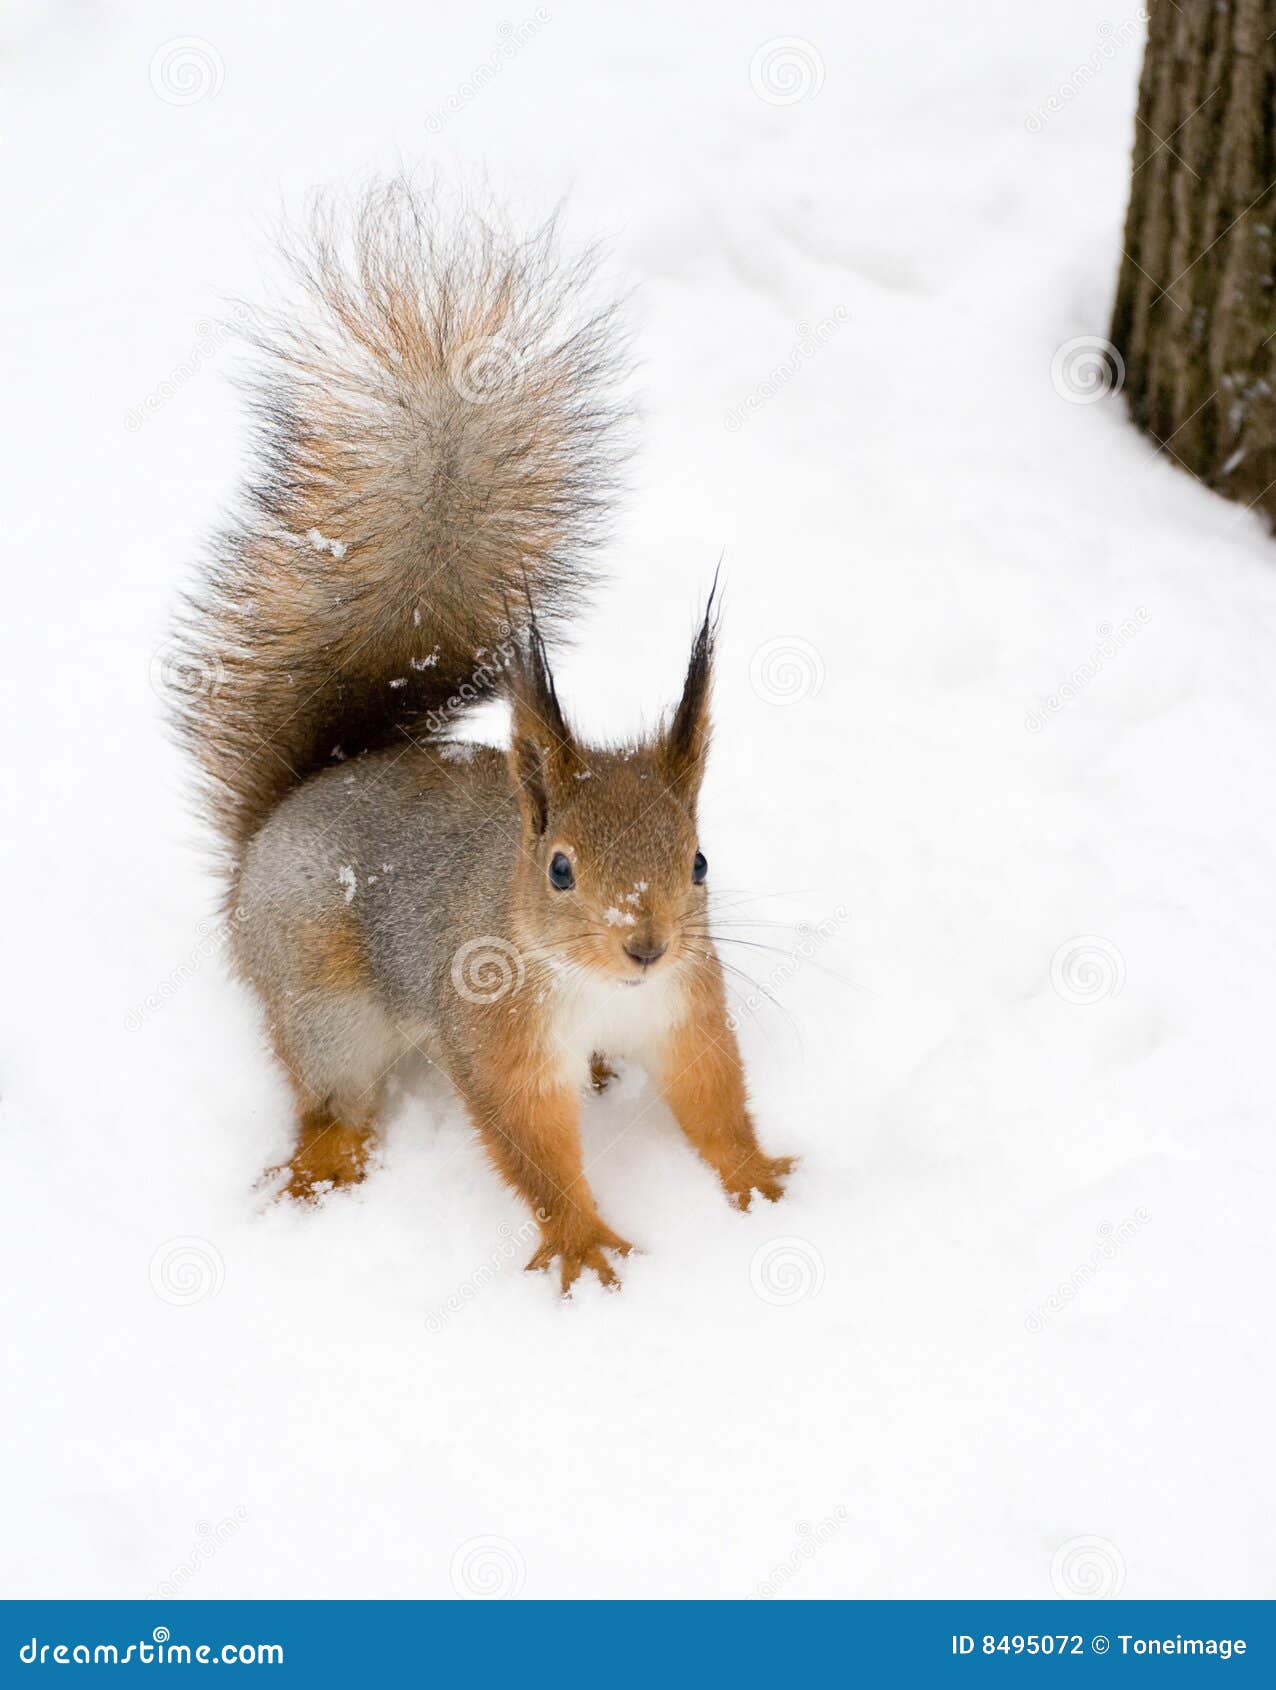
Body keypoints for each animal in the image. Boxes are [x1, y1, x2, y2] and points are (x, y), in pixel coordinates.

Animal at [172, 182, 793, 1293]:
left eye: (699, 860)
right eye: (558, 869)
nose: (646, 944)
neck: (599, 988)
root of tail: (269, 829)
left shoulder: (687, 1010)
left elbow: (713, 1099)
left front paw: (755, 1178)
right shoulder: (493, 1035)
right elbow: (527, 1142)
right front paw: (583, 1241)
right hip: (322, 999)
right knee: (328, 1096)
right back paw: (323, 1166)